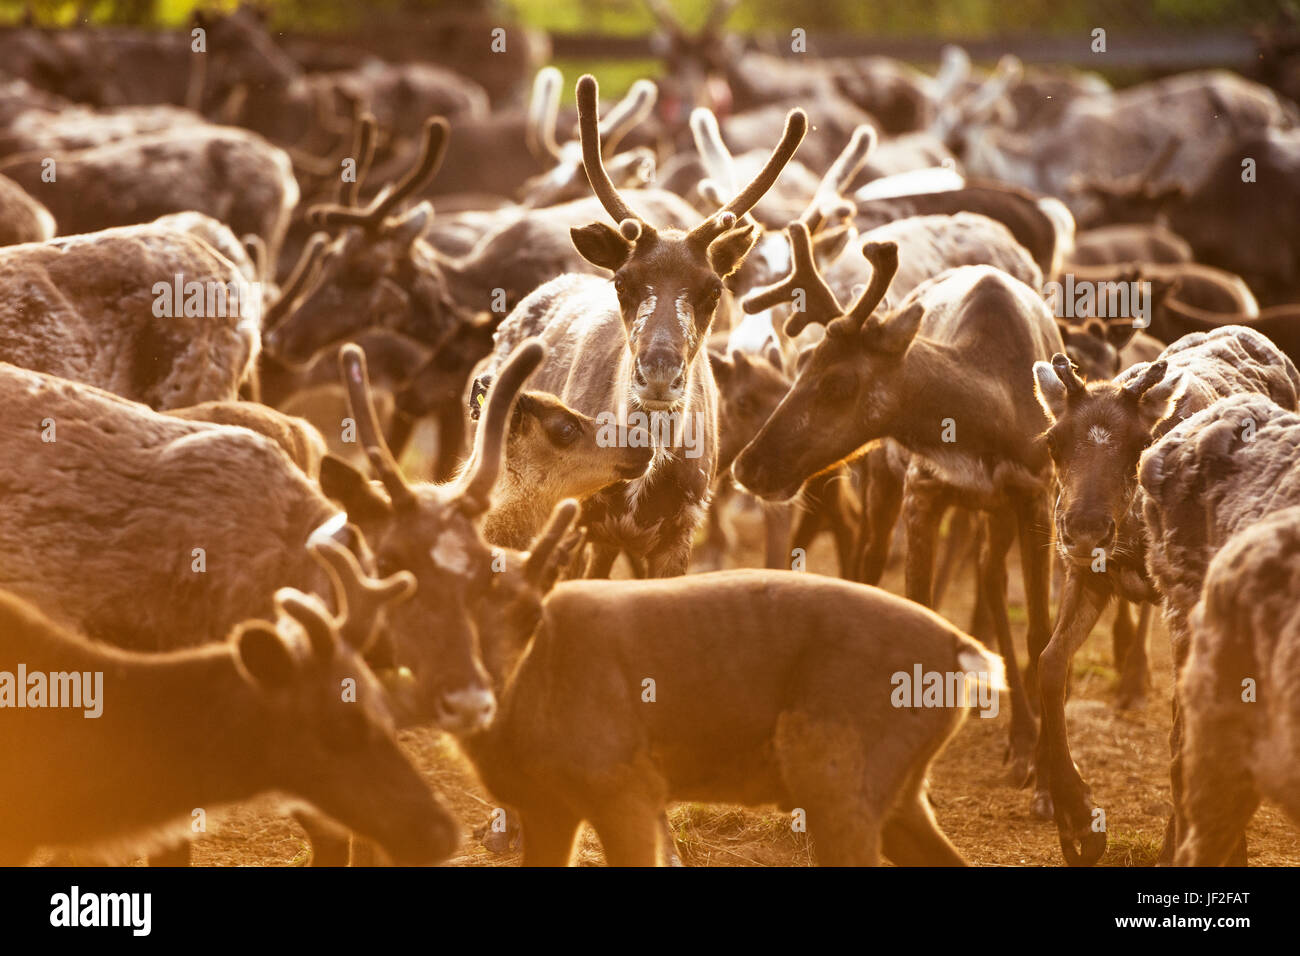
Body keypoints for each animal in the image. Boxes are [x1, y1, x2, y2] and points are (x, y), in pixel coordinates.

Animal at [460, 498, 1007, 866]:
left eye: (526, 613)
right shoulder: (547, 807)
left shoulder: (624, 791)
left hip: (839, 783)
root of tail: (963, 650)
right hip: (901, 795)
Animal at [732, 223, 1063, 791]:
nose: (748, 465)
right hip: (884, 481)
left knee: (991, 581)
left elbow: (1040, 633)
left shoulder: (1034, 494)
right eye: (803, 361)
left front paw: (1050, 775)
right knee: (869, 565)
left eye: (839, 382)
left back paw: (1021, 736)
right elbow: (918, 604)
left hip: (995, 510)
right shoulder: (920, 490)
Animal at [1031, 326, 1300, 865]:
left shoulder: (1187, 602)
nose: (1085, 528)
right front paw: (1079, 823)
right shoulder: (1086, 576)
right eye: (1052, 440)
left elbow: (1180, 733)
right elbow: (1049, 666)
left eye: (1141, 442)